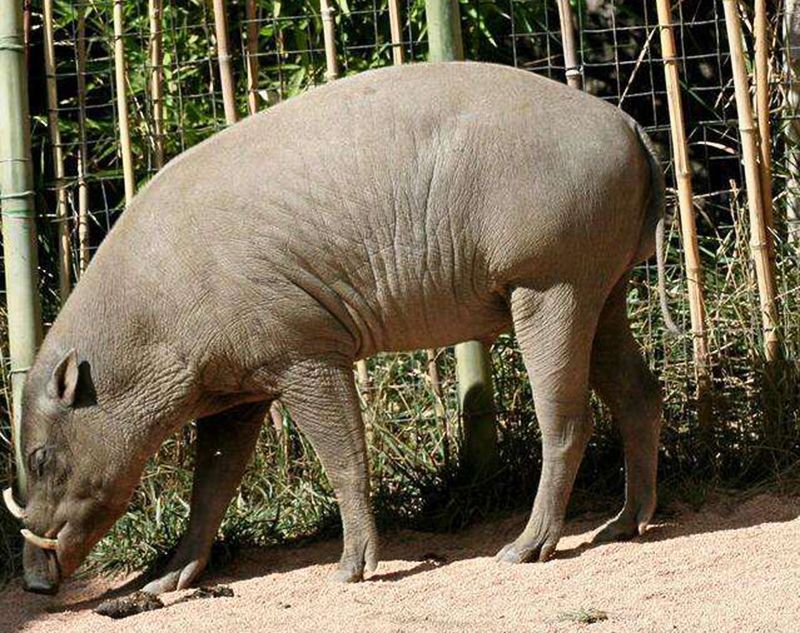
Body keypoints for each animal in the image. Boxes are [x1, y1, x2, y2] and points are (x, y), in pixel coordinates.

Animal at [4, 61, 673, 595]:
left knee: (567, 419)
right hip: (604, 289)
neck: (154, 314)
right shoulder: (237, 392)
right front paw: (168, 580)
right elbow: (211, 487)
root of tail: (629, 127)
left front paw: (353, 567)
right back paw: (627, 522)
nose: (35, 587)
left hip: (551, 286)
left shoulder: (304, 354)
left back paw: (528, 546)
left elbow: (344, 457)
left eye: (39, 457)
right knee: (640, 394)